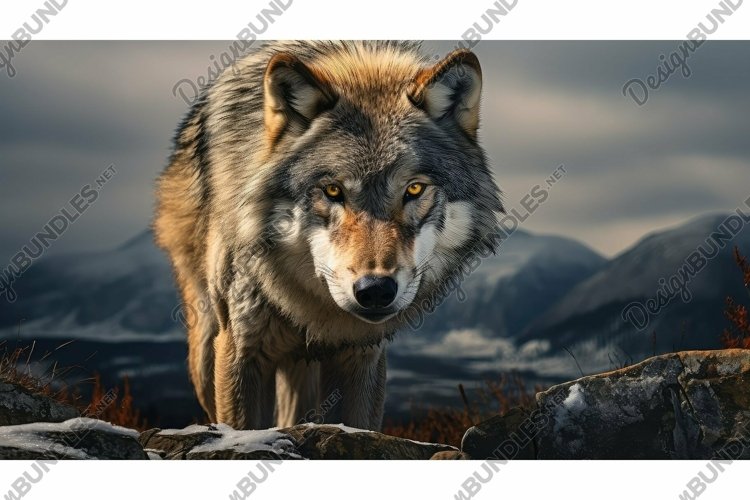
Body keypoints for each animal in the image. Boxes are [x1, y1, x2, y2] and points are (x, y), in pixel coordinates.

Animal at [154, 41, 502, 431]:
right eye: (333, 190)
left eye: (413, 189)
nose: (376, 290)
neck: (315, 314)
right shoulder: (242, 349)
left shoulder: (364, 356)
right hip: (205, 351)